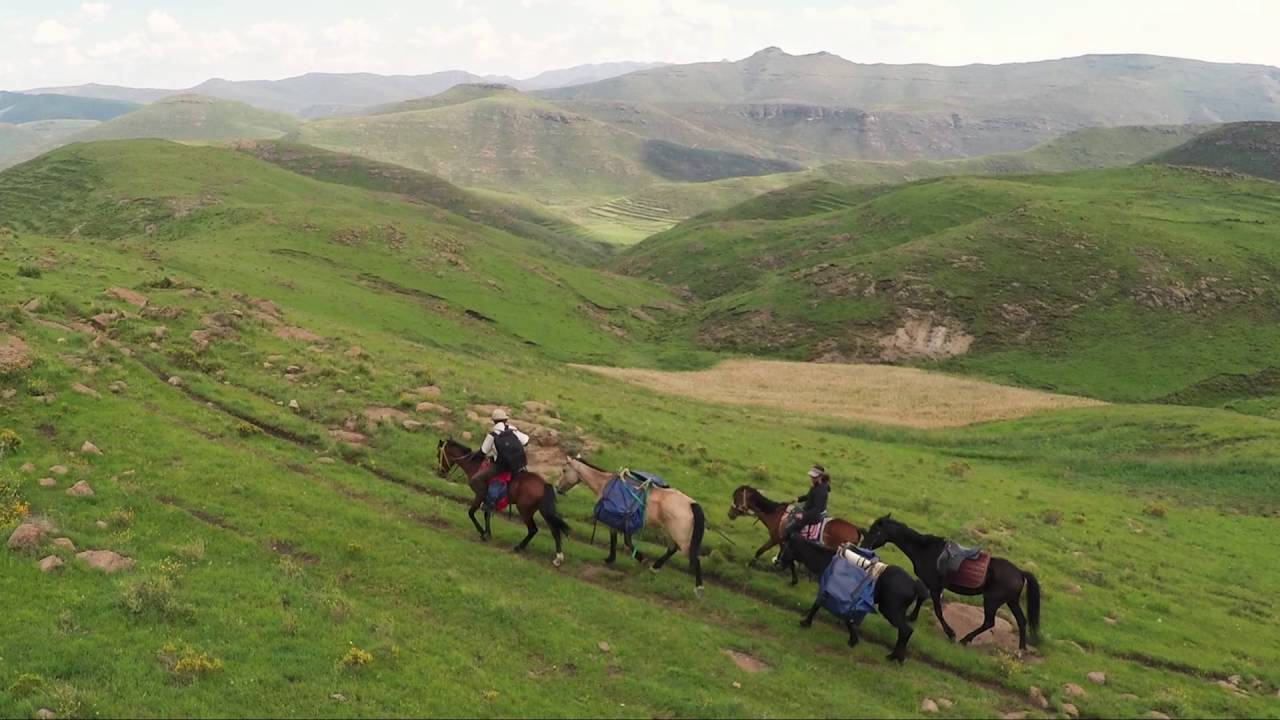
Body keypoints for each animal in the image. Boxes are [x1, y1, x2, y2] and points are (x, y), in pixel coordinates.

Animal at [435, 438, 570, 567]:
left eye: (438, 455)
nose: (440, 472)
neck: (475, 466)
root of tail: (544, 484)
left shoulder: (479, 495)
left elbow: (471, 513)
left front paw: (483, 533)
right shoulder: (488, 498)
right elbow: (487, 514)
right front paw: (488, 533)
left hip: (525, 510)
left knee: (533, 529)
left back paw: (519, 547)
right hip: (542, 510)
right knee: (554, 530)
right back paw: (558, 557)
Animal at [558, 455, 705, 593]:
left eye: (564, 470)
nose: (558, 489)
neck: (604, 484)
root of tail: (691, 504)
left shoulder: (618, 521)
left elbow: (626, 542)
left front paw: (639, 559)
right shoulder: (620, 523)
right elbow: (618, 539)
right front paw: (612, 558)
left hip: (681, 537)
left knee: (694, 557)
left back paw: (698, 587)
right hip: (668, 531)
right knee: (672, 548)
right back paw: (655, 567)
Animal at [727, 485, 863, 569]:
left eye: (737, 497)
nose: (729, 514)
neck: (776, 514)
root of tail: (856, 530)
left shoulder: (776, 539)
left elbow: (761, 550)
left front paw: (750, 564)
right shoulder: (782, 541)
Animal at [778, 535, 927, 663]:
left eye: (785, 547)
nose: (778, 562)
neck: (827, 560)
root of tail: (914, 585)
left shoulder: (830, 589)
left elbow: (819, 605)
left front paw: (805, 623)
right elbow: (845, 617)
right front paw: (853, 640)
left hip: (890, 610)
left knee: (906, 630)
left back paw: (894, 657)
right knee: (905, 631)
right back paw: (897, 656)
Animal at [861, 515, 1041, 652]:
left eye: (876, 530)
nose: (864, 545)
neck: (925, 550)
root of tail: (1020, 573)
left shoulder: (935, 587)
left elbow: (938, 611)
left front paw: (951, 634)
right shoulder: (929, 584)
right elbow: (921, 597)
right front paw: (911, 616)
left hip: (992, 600)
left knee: (989, 622)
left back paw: (965, 639)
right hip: (1011, 601)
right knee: (1021, 621)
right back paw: (1021, 649)